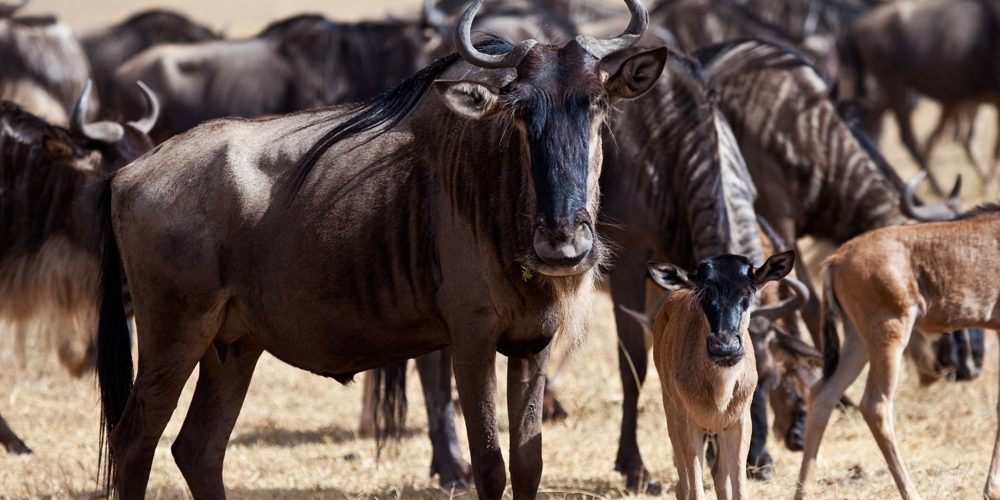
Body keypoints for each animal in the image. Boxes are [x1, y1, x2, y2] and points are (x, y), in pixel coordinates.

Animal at [796, 203, 1000, 500]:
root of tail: (838, 257)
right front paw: (992, 489)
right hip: (890, 333)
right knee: (875, 405)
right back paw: (912, 493)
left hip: (858, 340)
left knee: (823, 394)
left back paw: (802, 492)